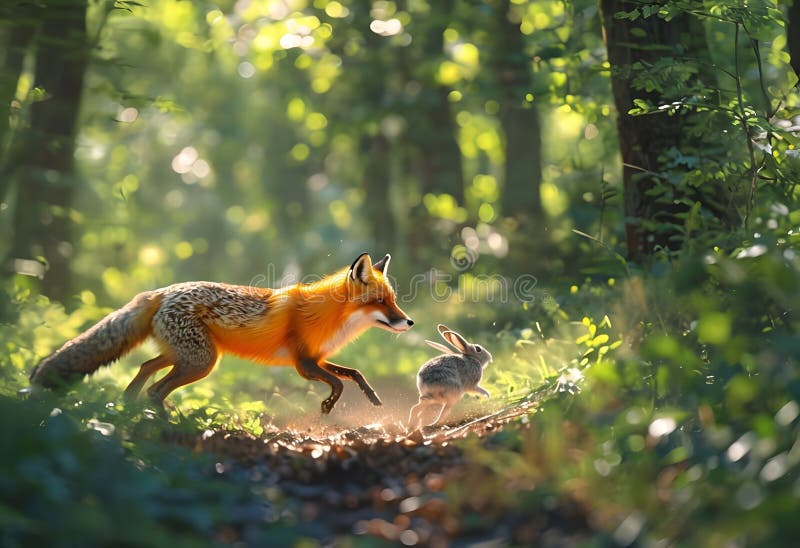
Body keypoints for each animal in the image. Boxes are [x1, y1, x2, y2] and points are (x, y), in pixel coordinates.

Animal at [29, 252, 414, 413]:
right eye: (382, 302)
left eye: (394, 301)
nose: (409, 322)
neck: (329, 316)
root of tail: (162, 291)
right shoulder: (304, 364)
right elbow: (337, 382)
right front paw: (329, 405)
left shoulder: (316, 359)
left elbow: (354, 373)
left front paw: (372, 397)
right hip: (202, 362)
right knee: (155, 389)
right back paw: (165, 423)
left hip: (183, 356)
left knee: (145, 368)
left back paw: (127, 406)